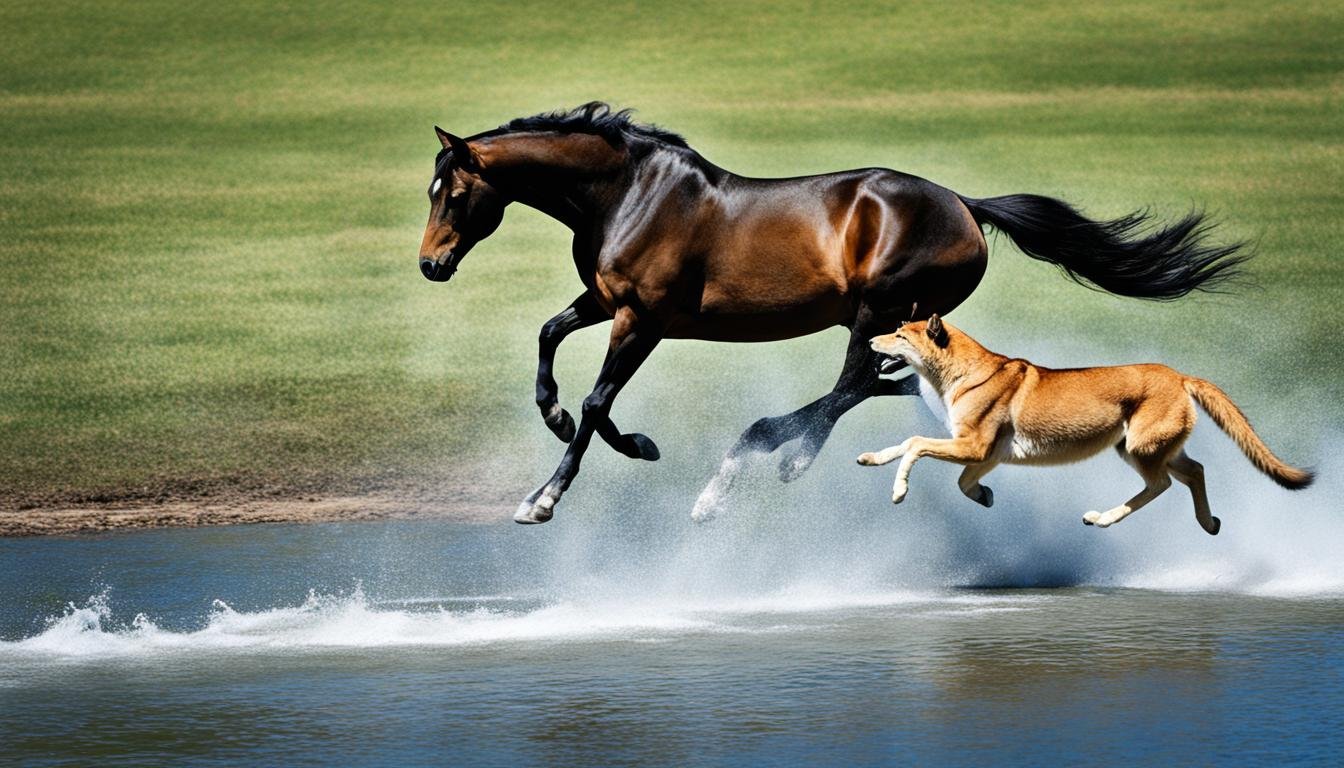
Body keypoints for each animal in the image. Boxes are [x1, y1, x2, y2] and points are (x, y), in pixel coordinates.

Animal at [418, 102, 1247, 525]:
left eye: (453, 194)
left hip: (877, 309)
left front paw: (546, 496)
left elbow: (597, 400)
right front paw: (608, 436)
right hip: (884, 320)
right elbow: (550, 343)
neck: (627, 193)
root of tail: (965, 204)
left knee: (852, 386)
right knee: (875, 383)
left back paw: (768, 459)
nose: (431, 265)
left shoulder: (642, 320)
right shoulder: (608, 303)